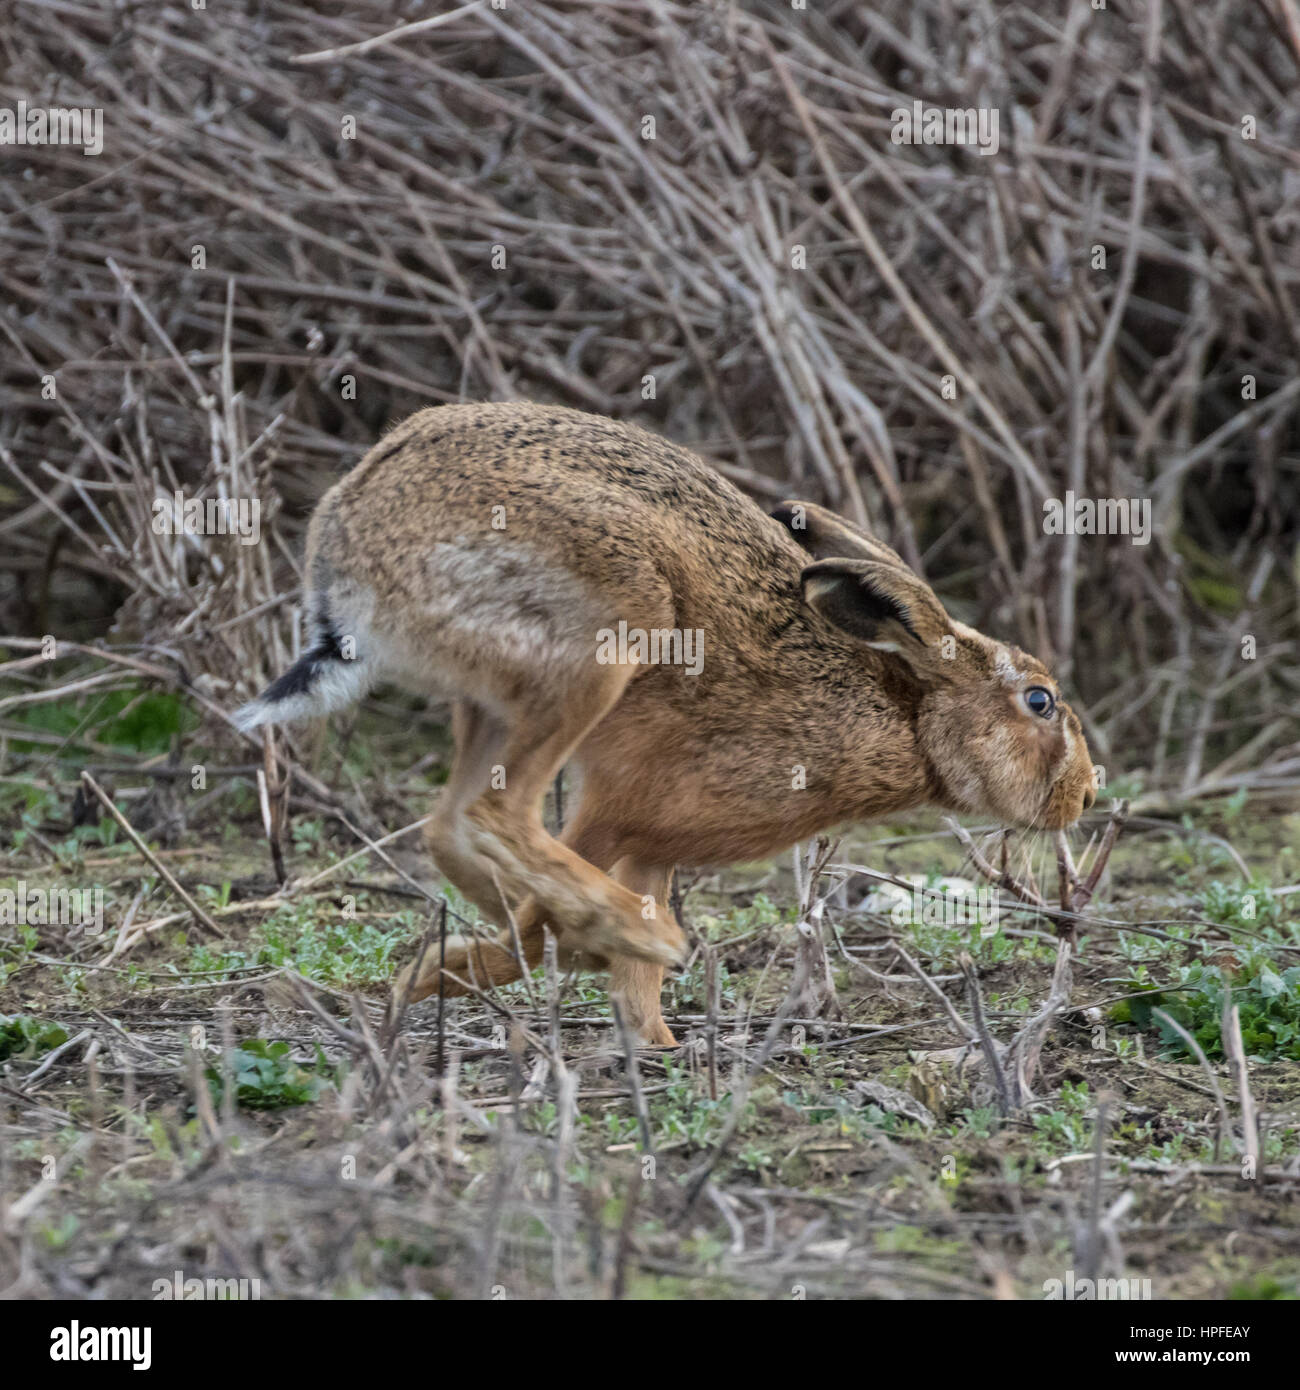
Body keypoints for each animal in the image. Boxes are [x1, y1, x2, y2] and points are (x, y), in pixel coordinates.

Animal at [235, 401, 1096, 1046]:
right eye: (1040, 702)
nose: (1086, 795)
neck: (911, 714)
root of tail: (347, 560)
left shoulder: (653, 846)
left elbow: (626, 976)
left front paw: (656, 1042)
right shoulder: (617, 813)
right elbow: (557, 905)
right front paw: (563, 954)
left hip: (489, 701)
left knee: (450, 823)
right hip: (604, 637)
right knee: (497, 816)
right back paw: (612, 934)